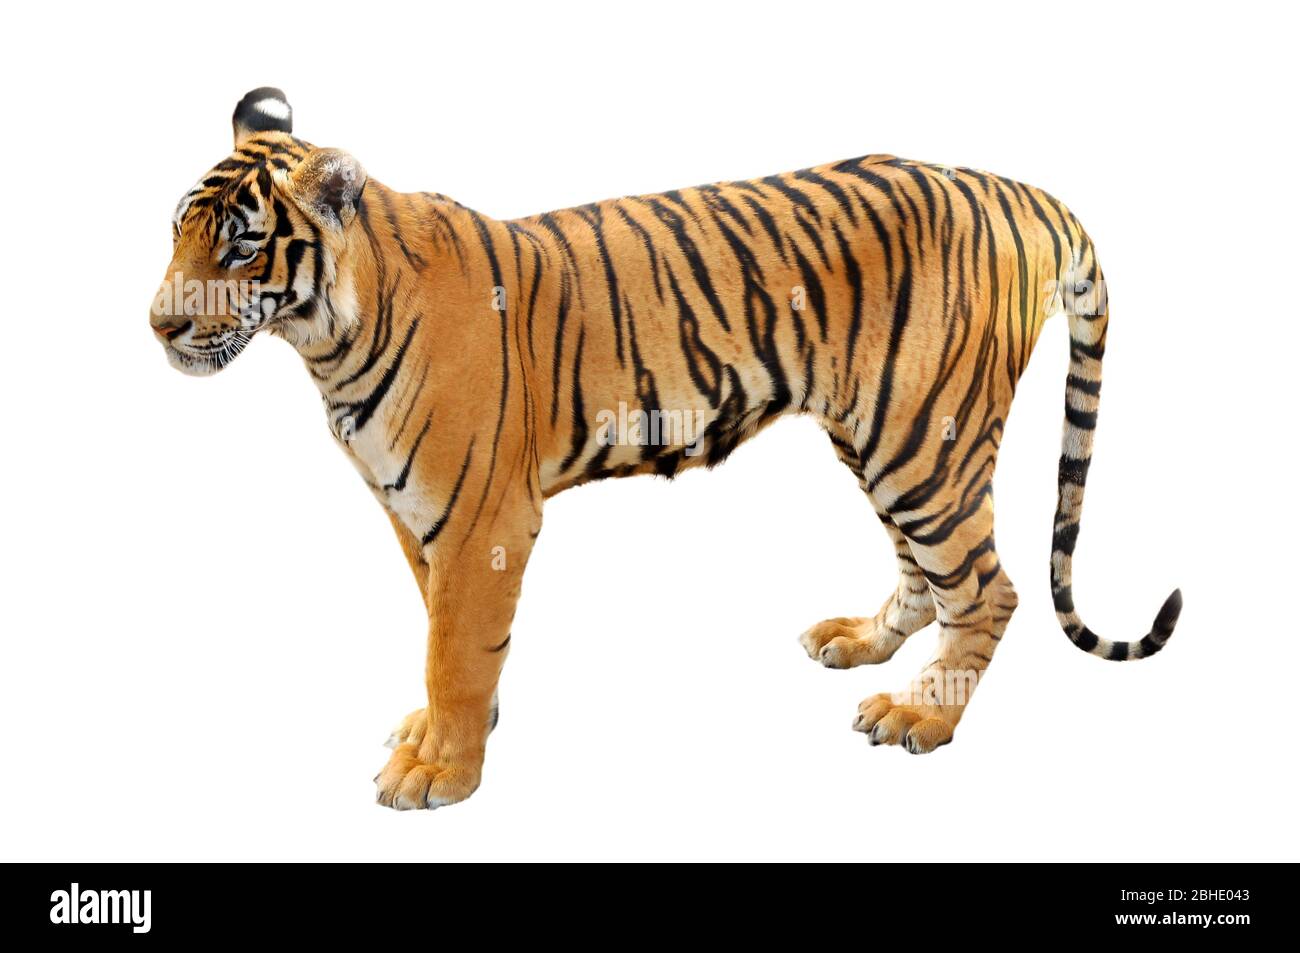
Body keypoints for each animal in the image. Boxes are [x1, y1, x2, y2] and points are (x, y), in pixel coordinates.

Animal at [151, 88, 1181, 810]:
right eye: (176, 234)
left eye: (241, 249)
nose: (159, 325)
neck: (324, 340)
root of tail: (1017, 188)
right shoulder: (418, 519)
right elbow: (443, 632)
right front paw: (441, 733)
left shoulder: (485, 520)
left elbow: (457, 646)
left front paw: (441, 772)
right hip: (878, 431)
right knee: (927, 574)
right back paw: (860, 643)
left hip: (926, 436)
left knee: (986, 587)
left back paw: (921, 711)